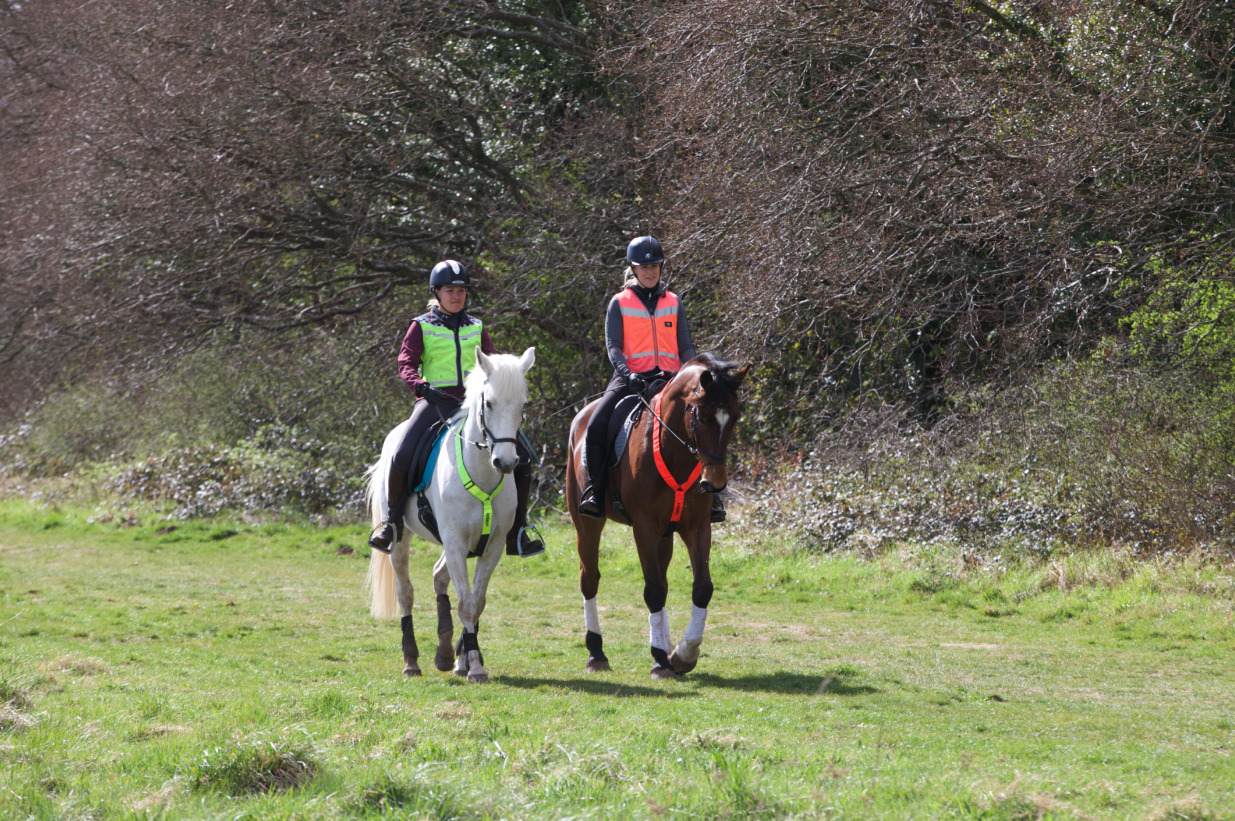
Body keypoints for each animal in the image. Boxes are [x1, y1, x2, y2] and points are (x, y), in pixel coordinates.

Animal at [366, 347, 535, 684]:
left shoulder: (491, 545)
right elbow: (467, 604)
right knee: (406, 593)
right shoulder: (455, 542)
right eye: (489, 403)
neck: (481, 472)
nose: (506, 462)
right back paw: (411, 661)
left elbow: (477, 602)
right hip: (402, 540)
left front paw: (466, 660)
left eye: (523, 405)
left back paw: (446, 655)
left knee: (438, 577)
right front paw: (475, 668)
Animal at [566, 353, 751, 679]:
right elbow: (652, 591)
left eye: (735, 417)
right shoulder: (644, 527)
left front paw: (682, 655)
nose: (715, 483)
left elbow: (701, 588)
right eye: (701, 417)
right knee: (589, 580)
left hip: (666, 534)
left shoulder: (697, 527)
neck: (675, 450)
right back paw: (596, 653)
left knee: (663, 582)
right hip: (587, 524)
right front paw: (661, 661)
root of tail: (580, 418)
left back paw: (663, 648)